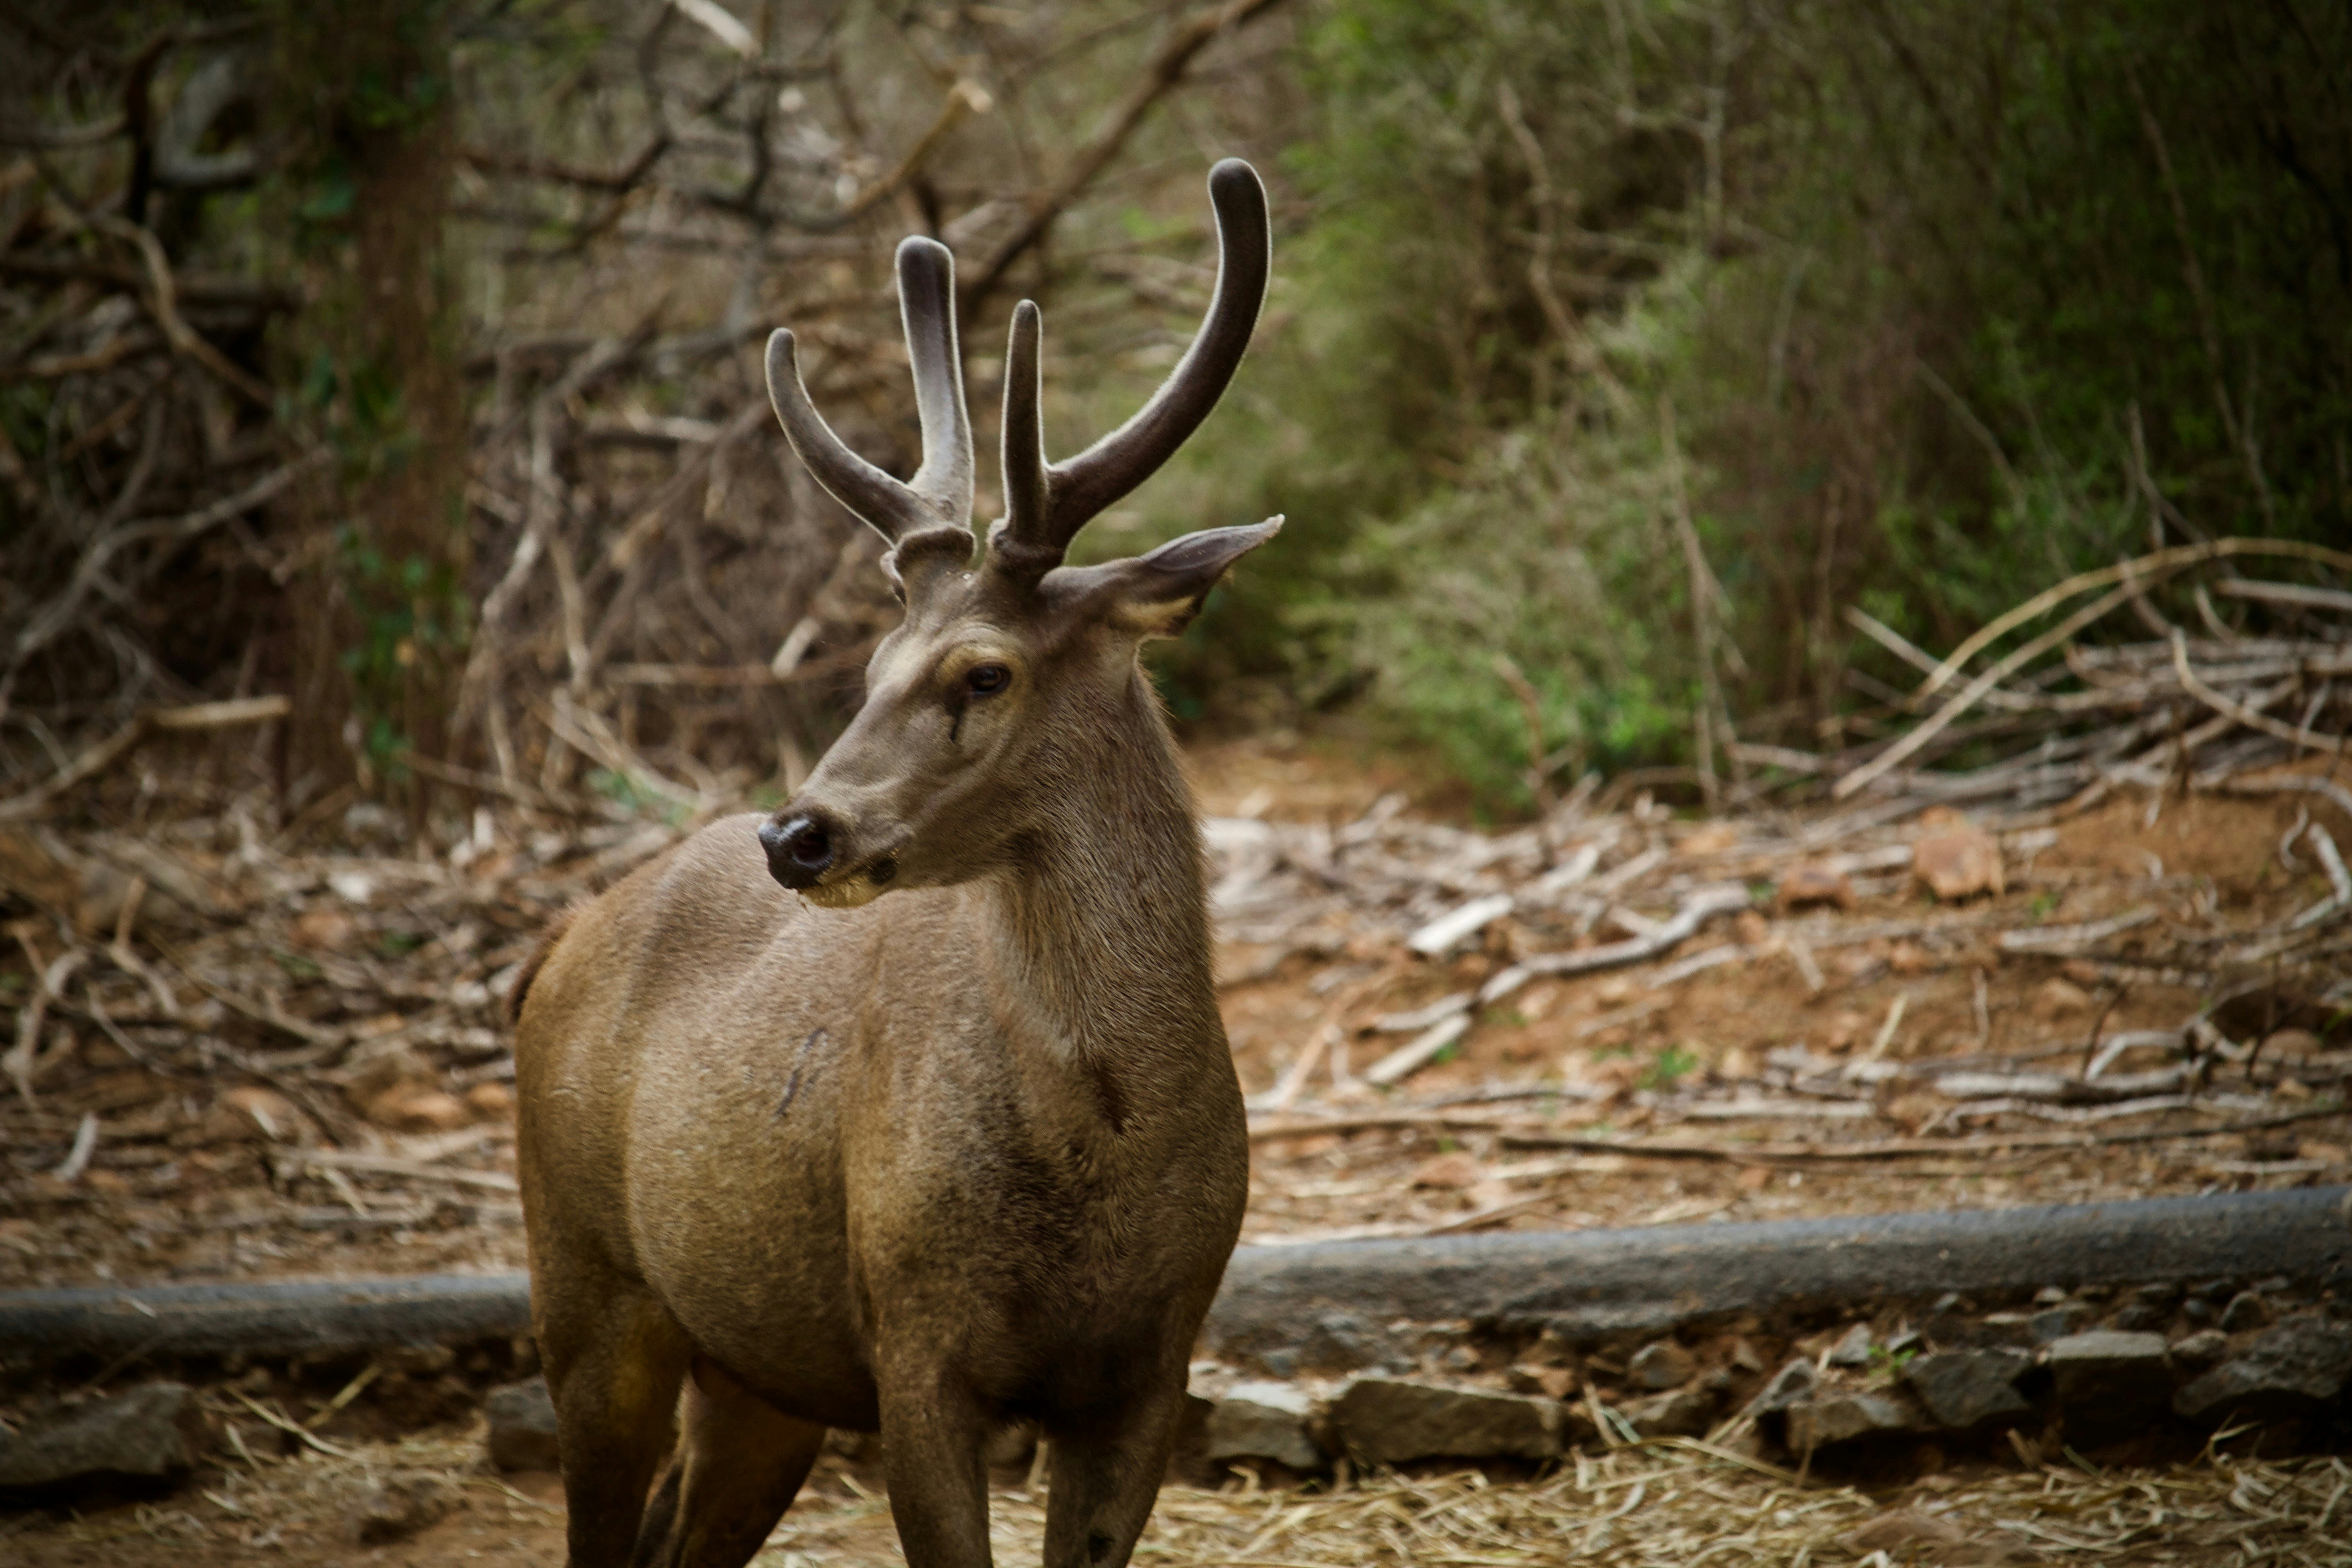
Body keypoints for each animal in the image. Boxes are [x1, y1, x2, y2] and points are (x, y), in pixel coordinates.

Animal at [511, 158, 1275, 1568]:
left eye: (984, 672)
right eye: (868, 665)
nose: (797, 831)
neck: (1101, 1163)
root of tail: (553, 944)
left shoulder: (1154, 1365)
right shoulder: (917, 1344)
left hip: (758, 1370)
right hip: (585, 1281)